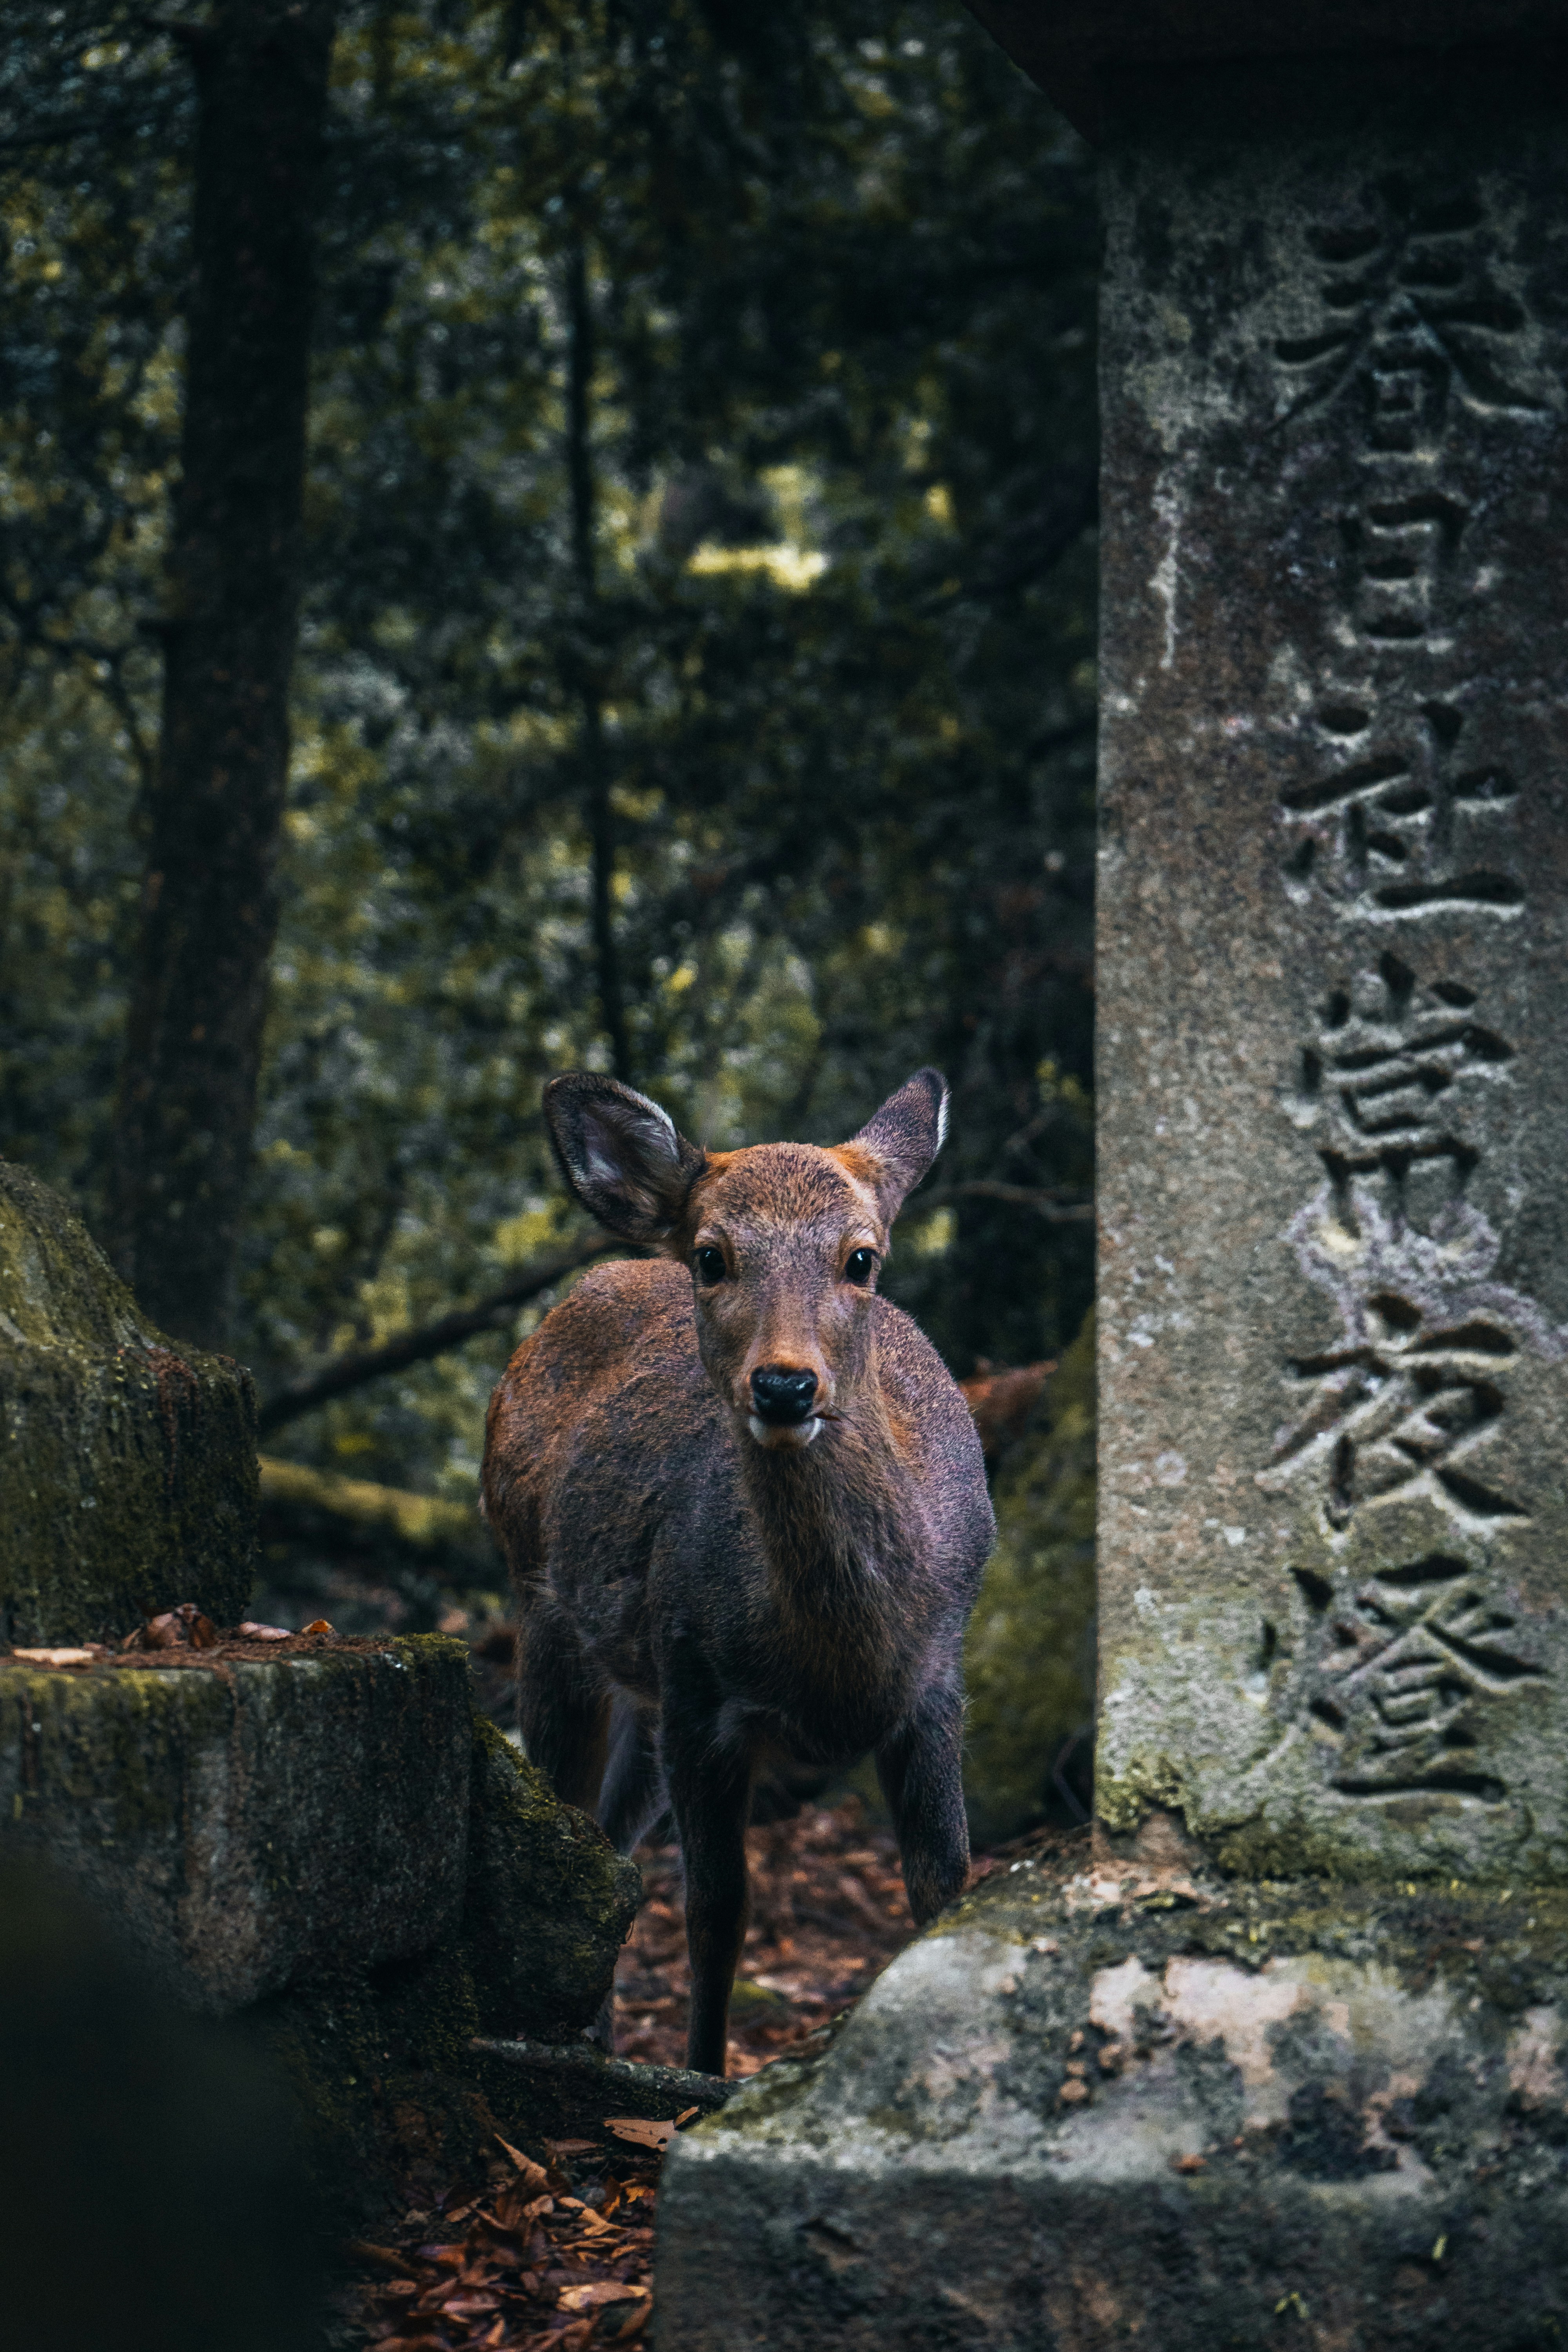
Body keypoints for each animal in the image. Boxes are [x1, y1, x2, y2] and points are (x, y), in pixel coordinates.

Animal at [481, 1069, 995, 2076]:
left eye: (861, 1258)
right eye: (713, 1257)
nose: (784, 1386)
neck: (836, 1666)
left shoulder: (936, 1683)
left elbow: (942, 1887)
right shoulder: (699, 1691)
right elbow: (717, 1912)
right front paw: (703, 2075)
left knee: (608, 1846)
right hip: (547, 1611)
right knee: (564, 1832)